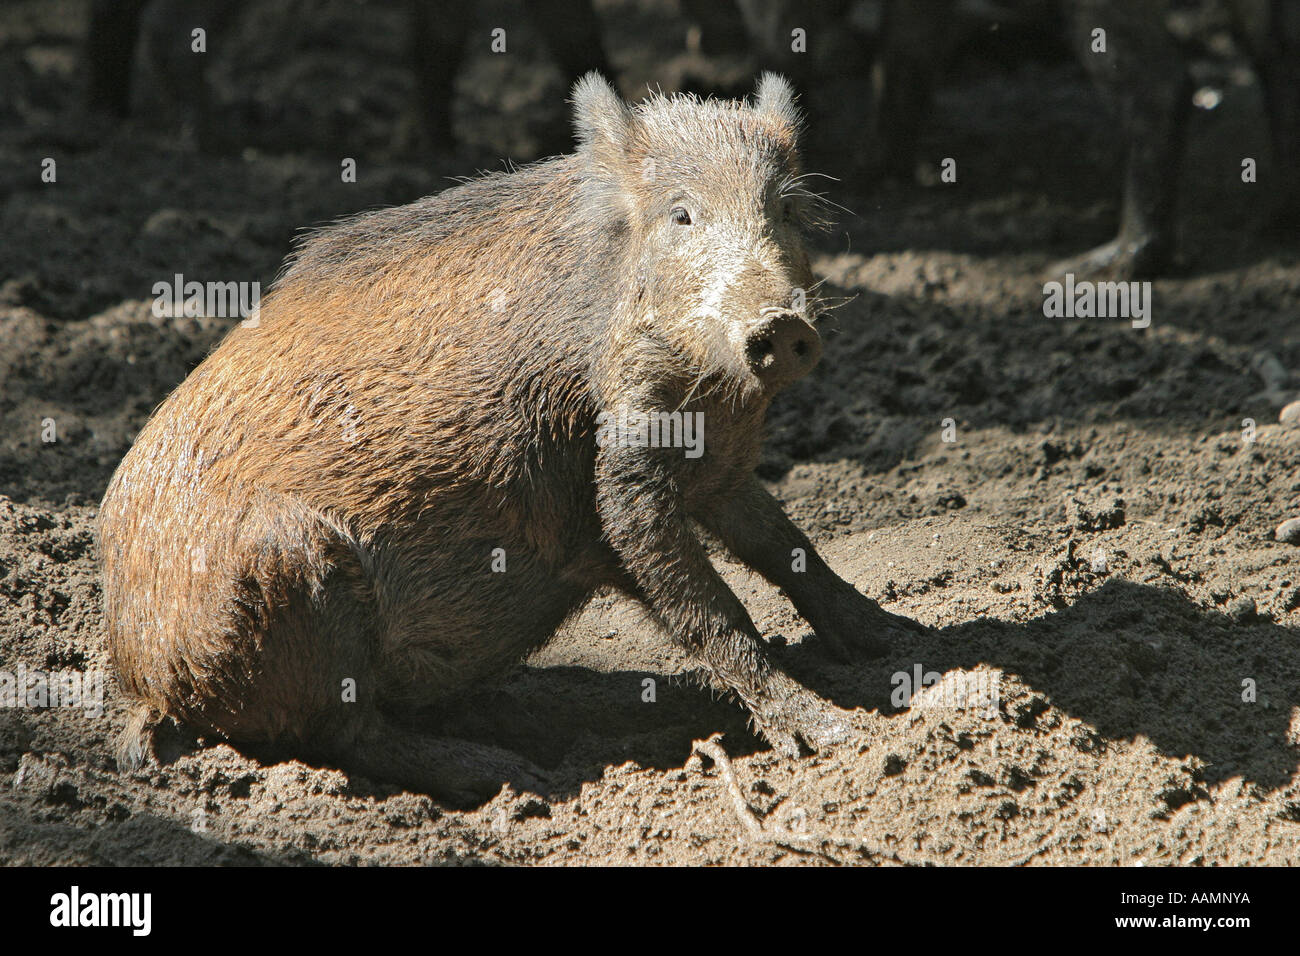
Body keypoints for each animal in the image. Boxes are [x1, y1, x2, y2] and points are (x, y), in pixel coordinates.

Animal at [98, 74, 917, 805]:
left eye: (785, 208)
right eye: (682, 216)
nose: (782, 325)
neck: (707, 401)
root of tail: (139, 673)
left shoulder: (723, 469)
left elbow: (788, 546)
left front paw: (895, 639)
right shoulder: (619, 471)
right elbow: (708, 606)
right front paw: (838, 734)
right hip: (288, 575)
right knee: (345, 734)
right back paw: (509, 774)